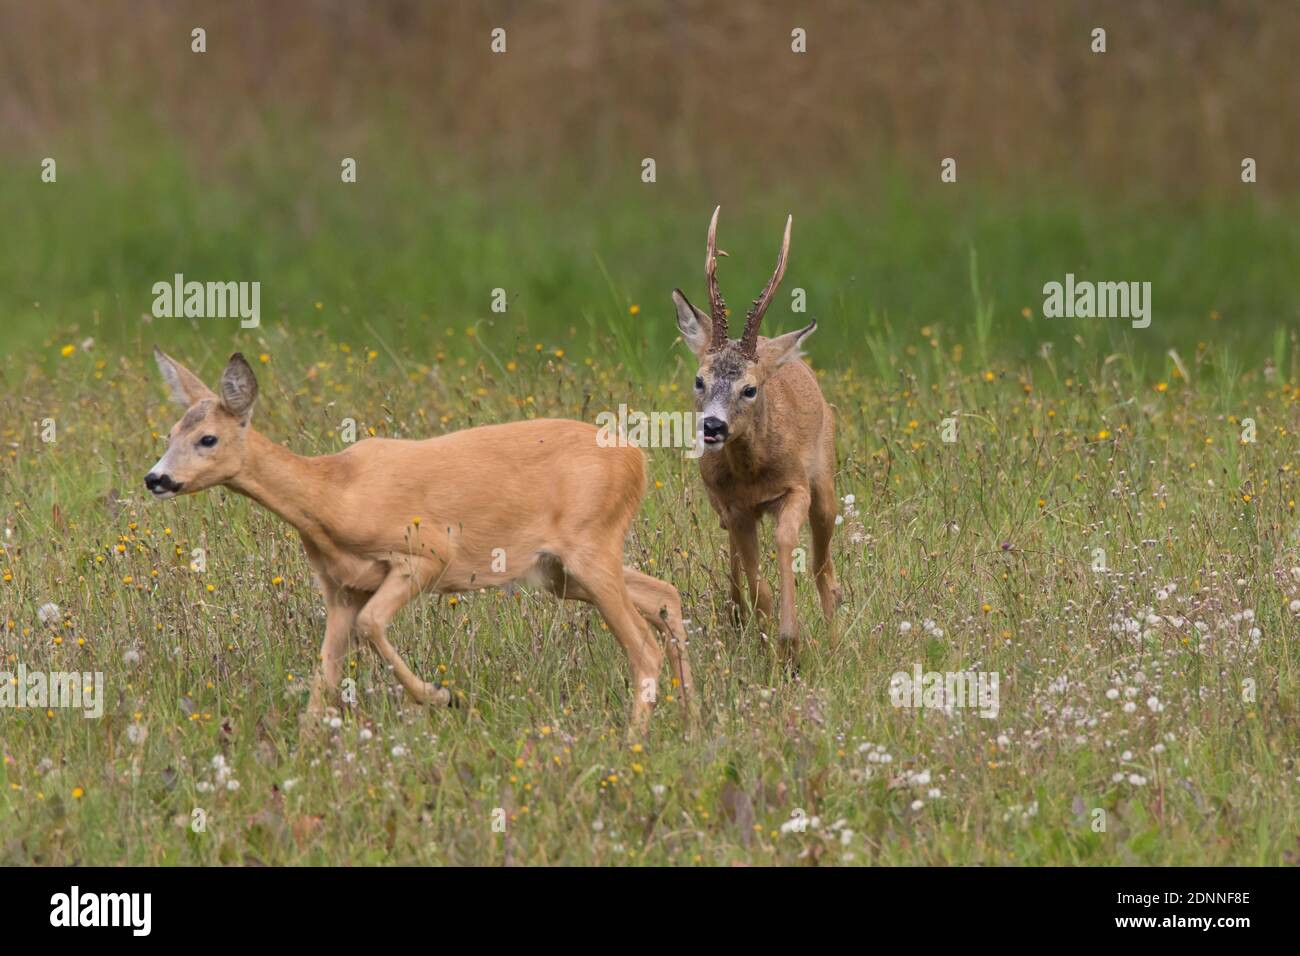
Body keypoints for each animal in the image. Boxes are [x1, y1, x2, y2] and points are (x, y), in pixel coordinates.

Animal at [144, 348, 693, 739]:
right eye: (170, 432)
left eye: (208, 438)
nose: (156, 478)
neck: (334, 495)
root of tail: (638, 459)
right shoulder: (340, 589)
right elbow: (324, 676)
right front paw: (302, 753)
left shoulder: (426, 555)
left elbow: (371, 626)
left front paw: (441, 696)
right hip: (559, 570)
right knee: (665, 595)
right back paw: (692, 719)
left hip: (589, 544)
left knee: (644, 646)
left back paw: (632, 742)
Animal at [670, 207, 842, 665]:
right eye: (699, 380)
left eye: (750, 389)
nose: (713, 427)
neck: (753, 476)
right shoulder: (734, 507)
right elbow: (755, 575)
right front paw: (774, 639)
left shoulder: (796, 486)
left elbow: (784, 542)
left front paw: (789, 640)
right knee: (736, 560)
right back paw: (738, 618)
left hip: (825, 481)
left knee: (823, 564)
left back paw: (835, 636)